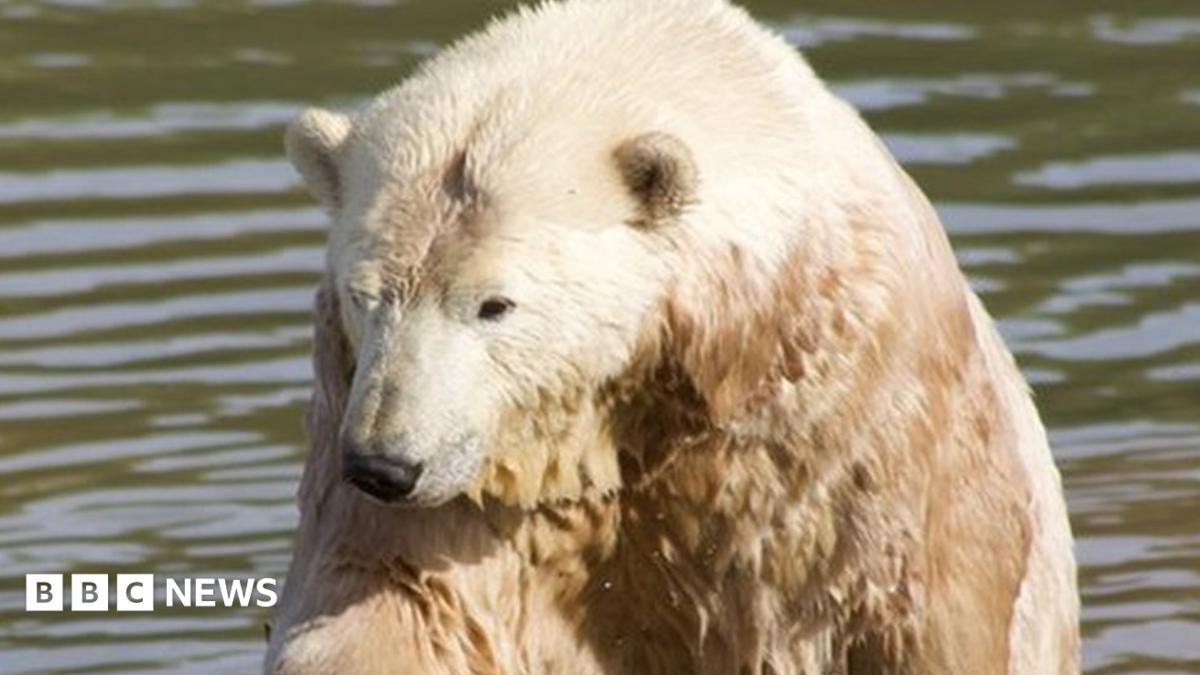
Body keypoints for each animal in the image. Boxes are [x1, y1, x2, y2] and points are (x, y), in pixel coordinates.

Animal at [265, 0, 1080, 673]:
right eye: (365, 295)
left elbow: (912, 604)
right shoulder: (446, 460)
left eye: (495, 305)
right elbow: (392, 601)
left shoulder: (853, 417)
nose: (384, 464)